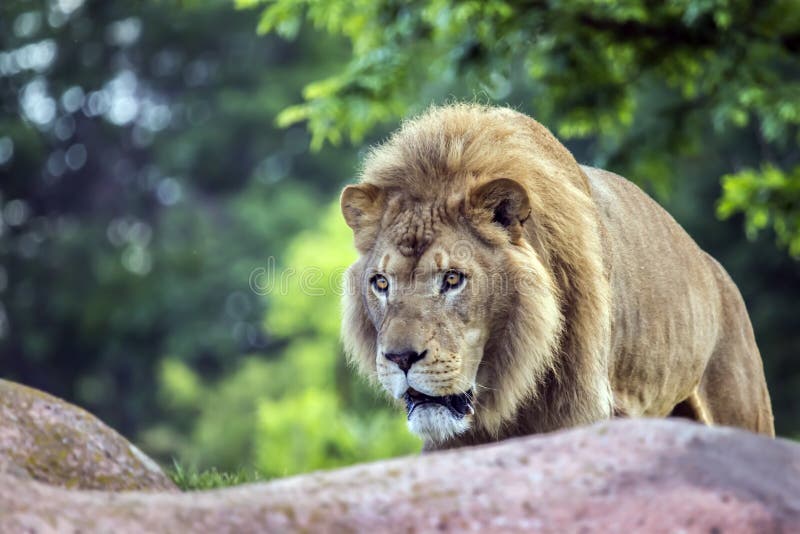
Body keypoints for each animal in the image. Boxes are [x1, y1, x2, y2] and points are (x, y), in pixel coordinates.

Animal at [340, 104, 774, 450]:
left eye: (452, 279)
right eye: (381, 283)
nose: (399, 358)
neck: (508, 380)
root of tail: (714, 270)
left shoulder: (579, 414)